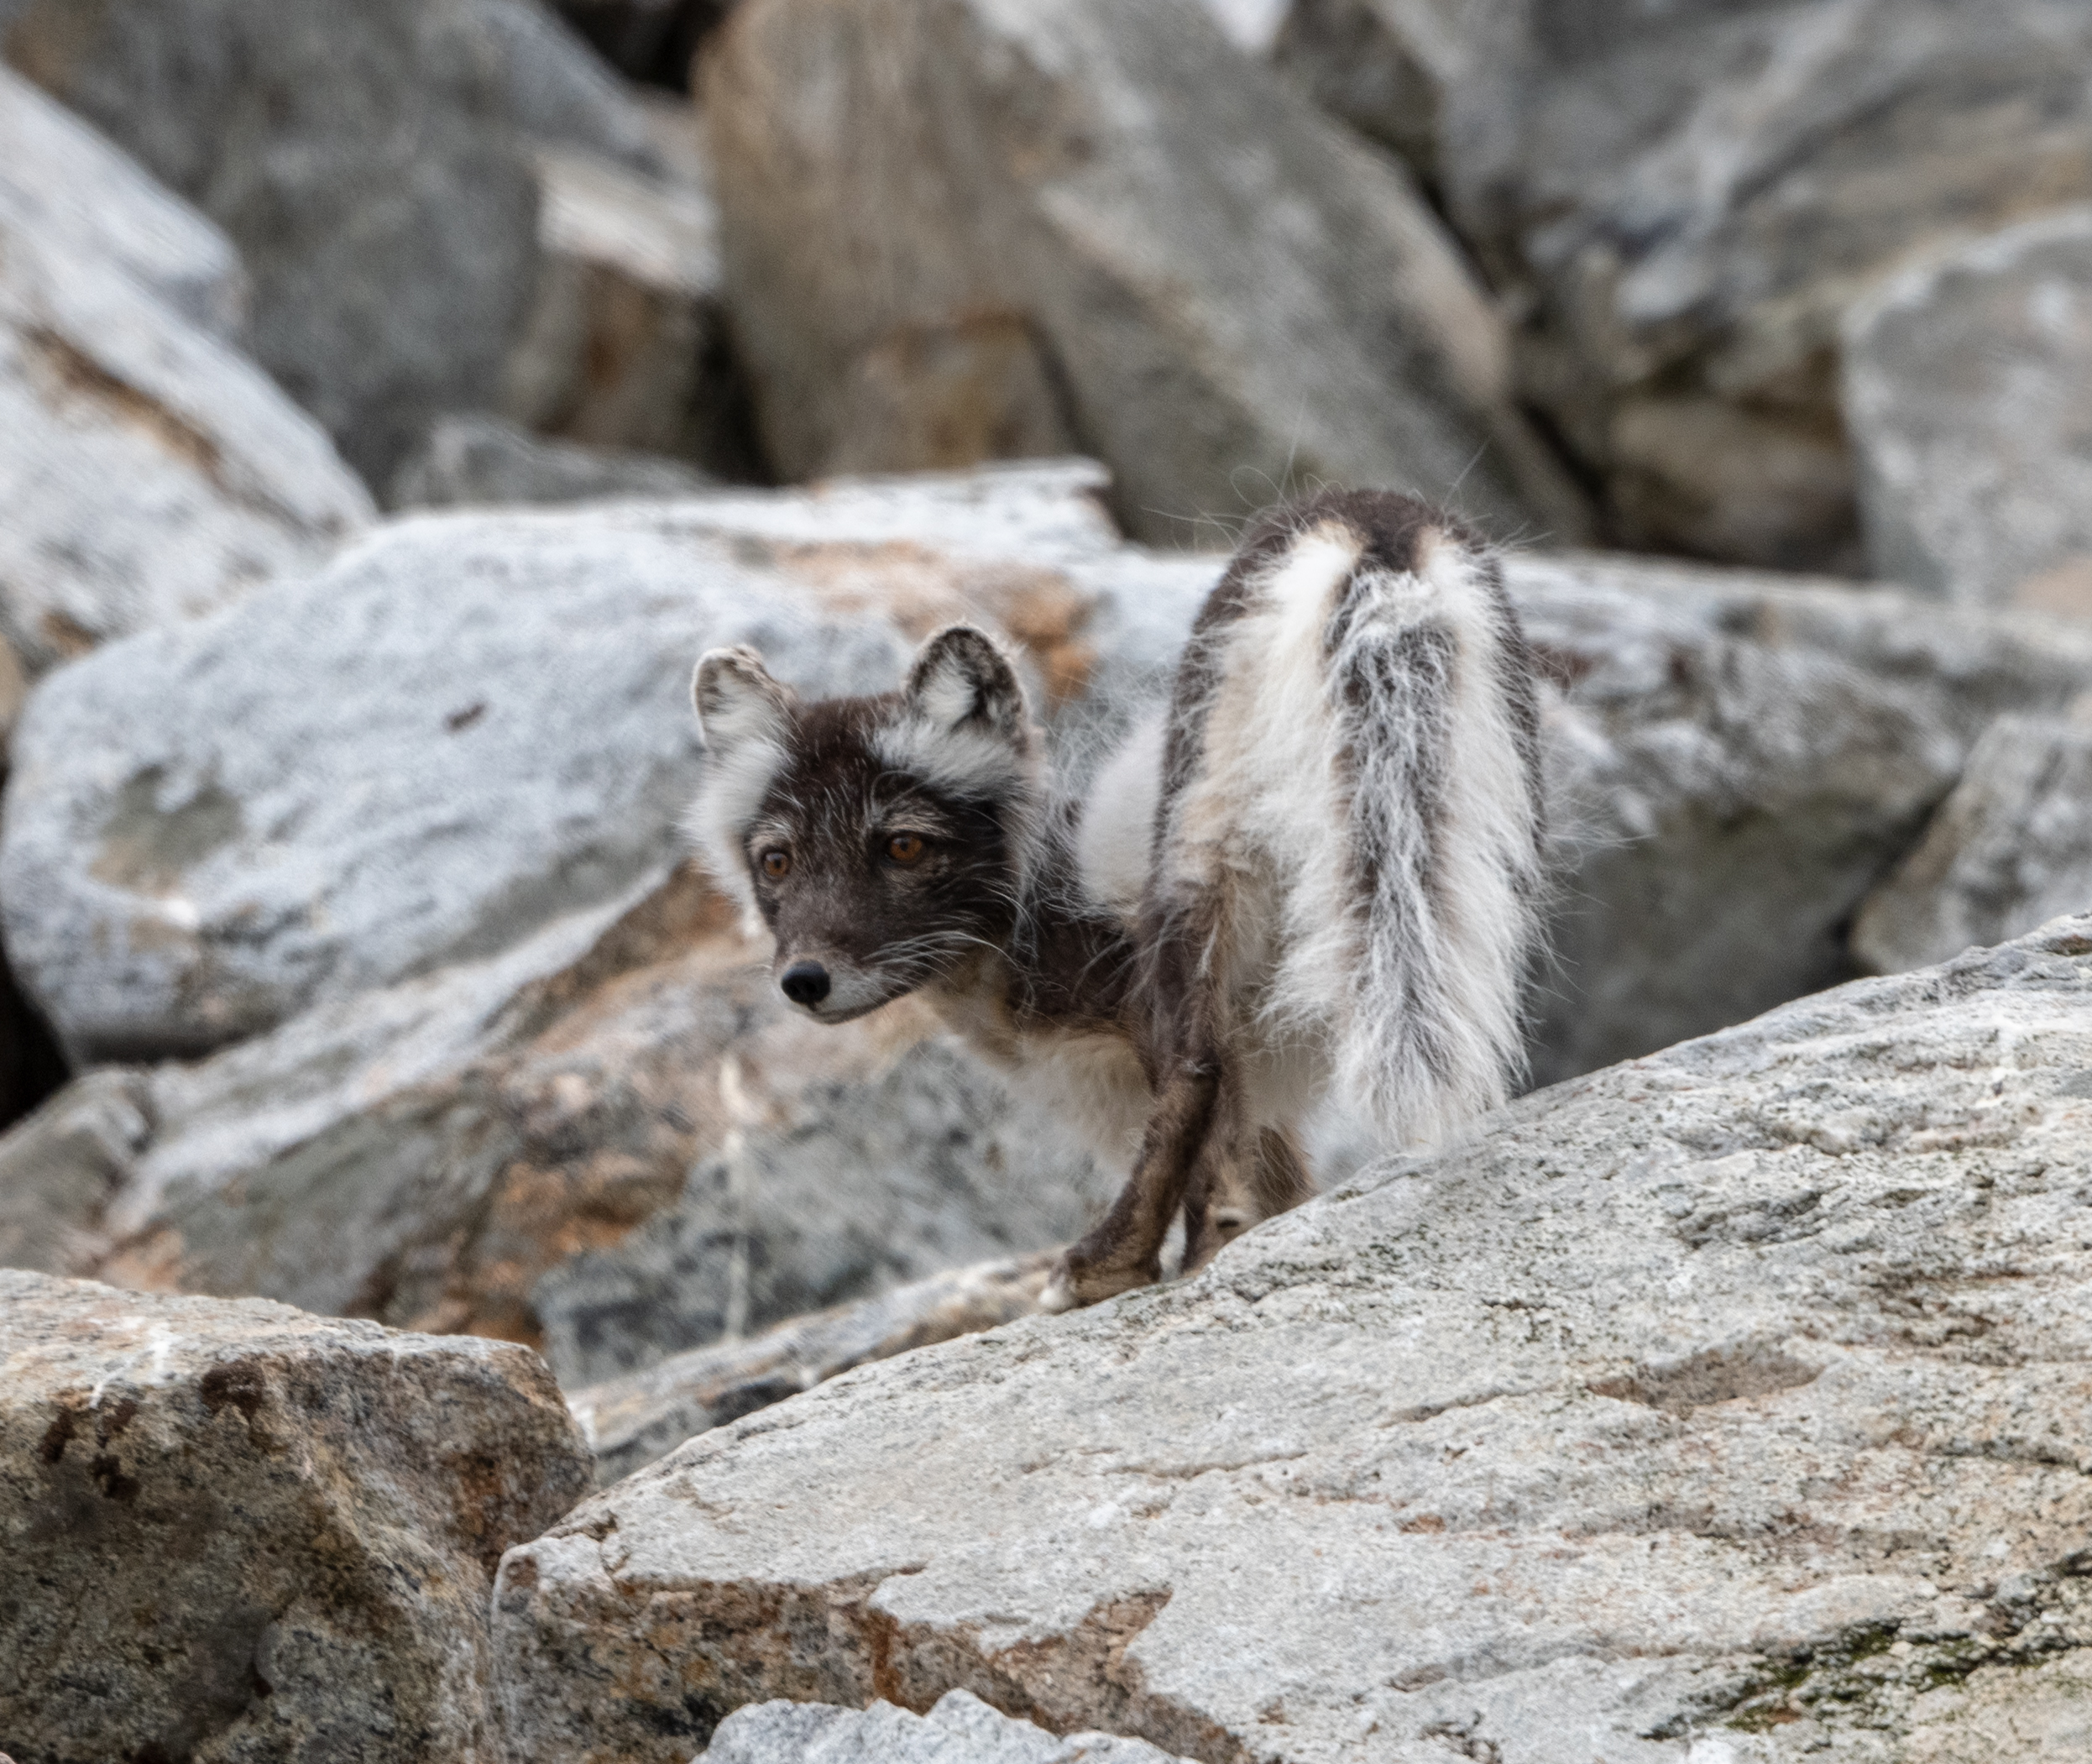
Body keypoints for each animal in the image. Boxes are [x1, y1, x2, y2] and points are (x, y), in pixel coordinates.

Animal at [688, 488, 1547, 1311]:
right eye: (776, 862)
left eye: (903, 846)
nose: (804, 980)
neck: (1034, 910)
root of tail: (1372, 512)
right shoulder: (1265, 1104)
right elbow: (1271, 1184)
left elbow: (1213, 1144)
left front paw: (1178, 1256)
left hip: (1189, 872)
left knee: (1195, 1068)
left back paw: (1104, 1266)